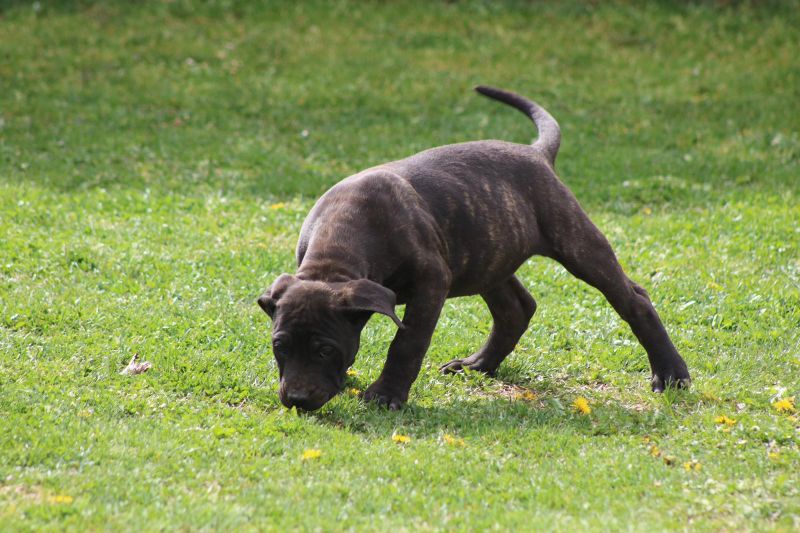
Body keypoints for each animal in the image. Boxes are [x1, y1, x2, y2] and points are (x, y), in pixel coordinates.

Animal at [260, 87, 692, 412]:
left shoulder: (431, 283)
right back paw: (477, 365)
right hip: (487, 259)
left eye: (324, 349)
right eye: (280, 347)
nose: (296, 399)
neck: (341, 246)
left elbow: (406, 344)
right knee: (516, 309)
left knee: (633, 298)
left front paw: (385, 395)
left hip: (576, 243)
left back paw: (671, 374)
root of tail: (535, 153)